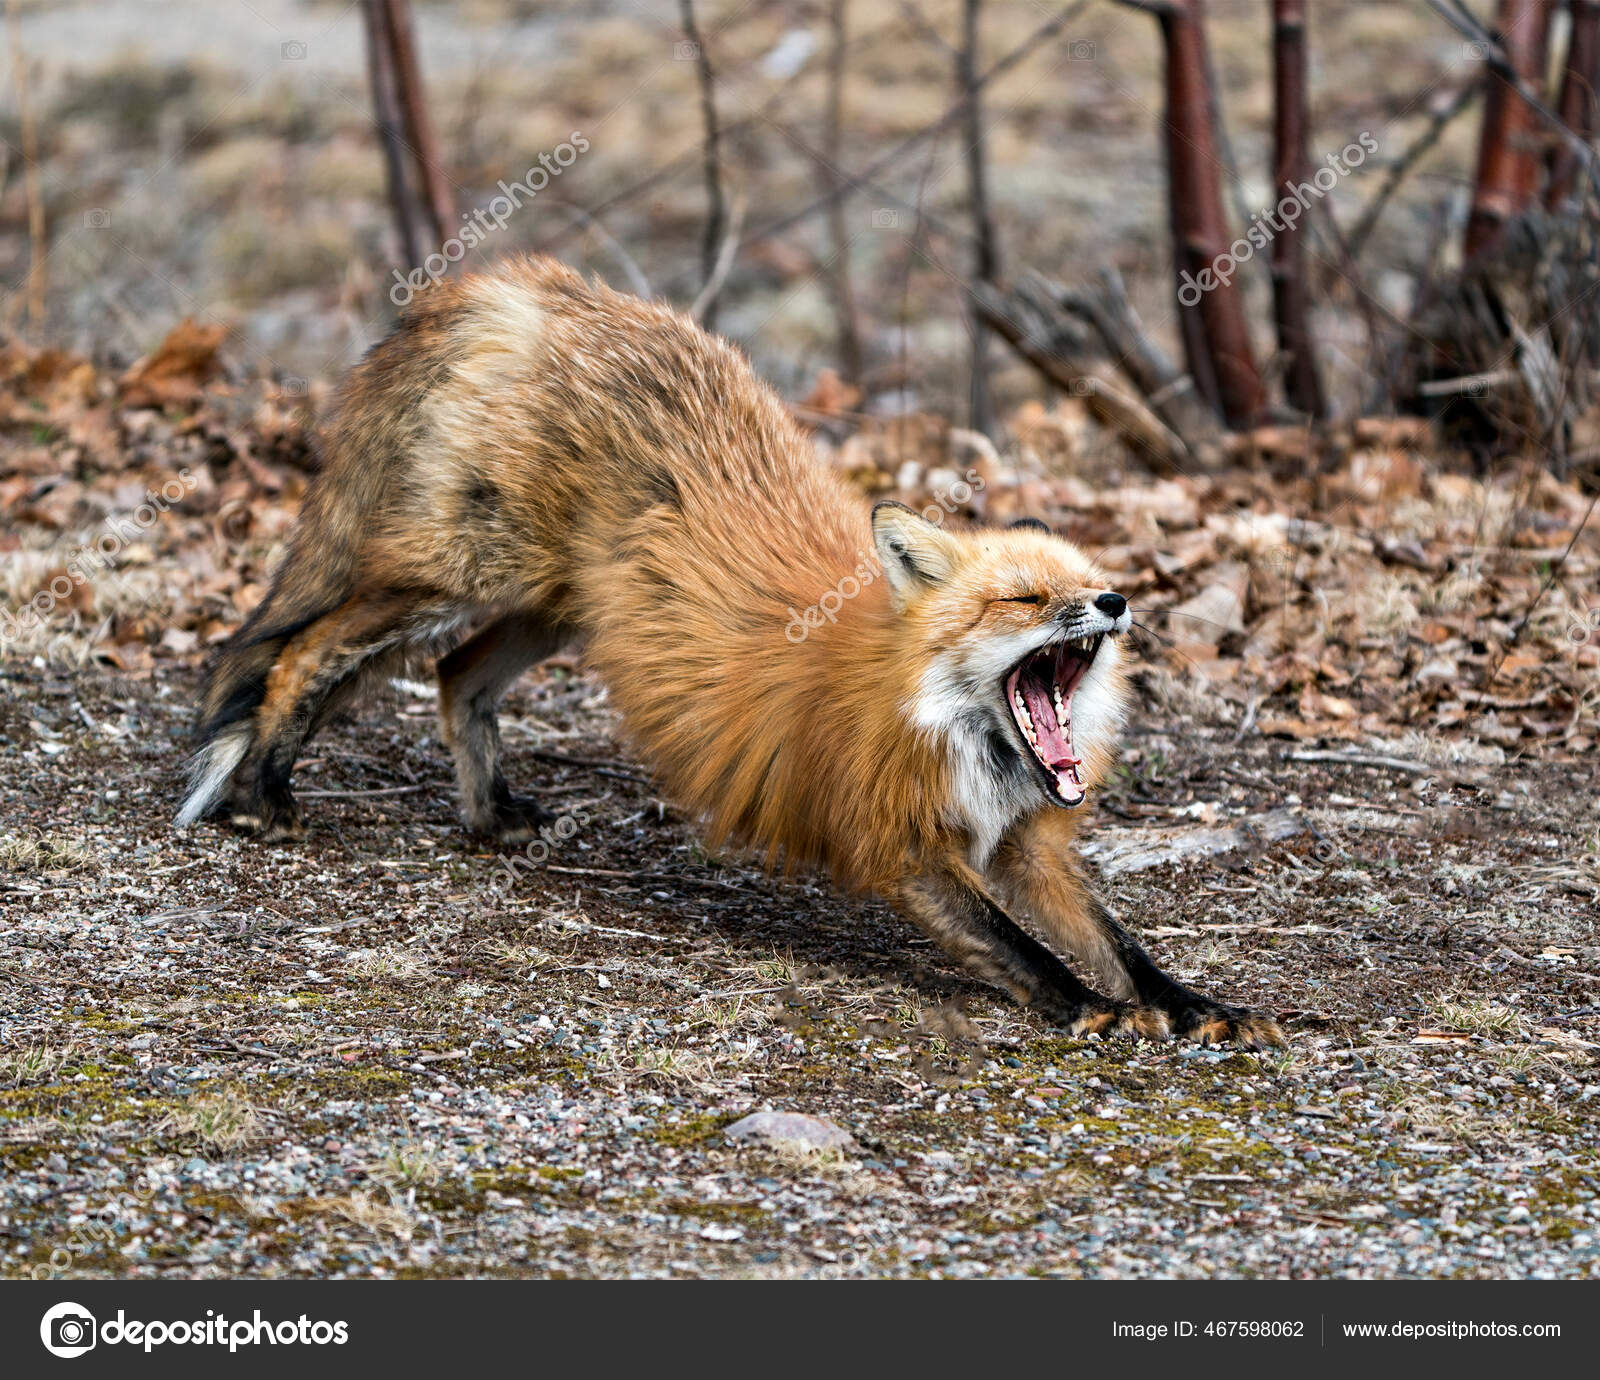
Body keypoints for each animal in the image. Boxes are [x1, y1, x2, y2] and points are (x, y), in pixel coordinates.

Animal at [176, 254, 1281, 1048]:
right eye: (1024, 598)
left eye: (1091, 580)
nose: (1115, 601)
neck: (957, 730)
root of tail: (528, 282)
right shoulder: (900, 845)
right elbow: (1026, 950)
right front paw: (1088, 1008)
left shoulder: (1023, 844)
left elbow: (1120, 942)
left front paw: (1192, 1004)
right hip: (460, 575)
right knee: (302, 652)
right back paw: (267, 790)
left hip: (554, 606)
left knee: (455, 677)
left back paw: (488, 816)